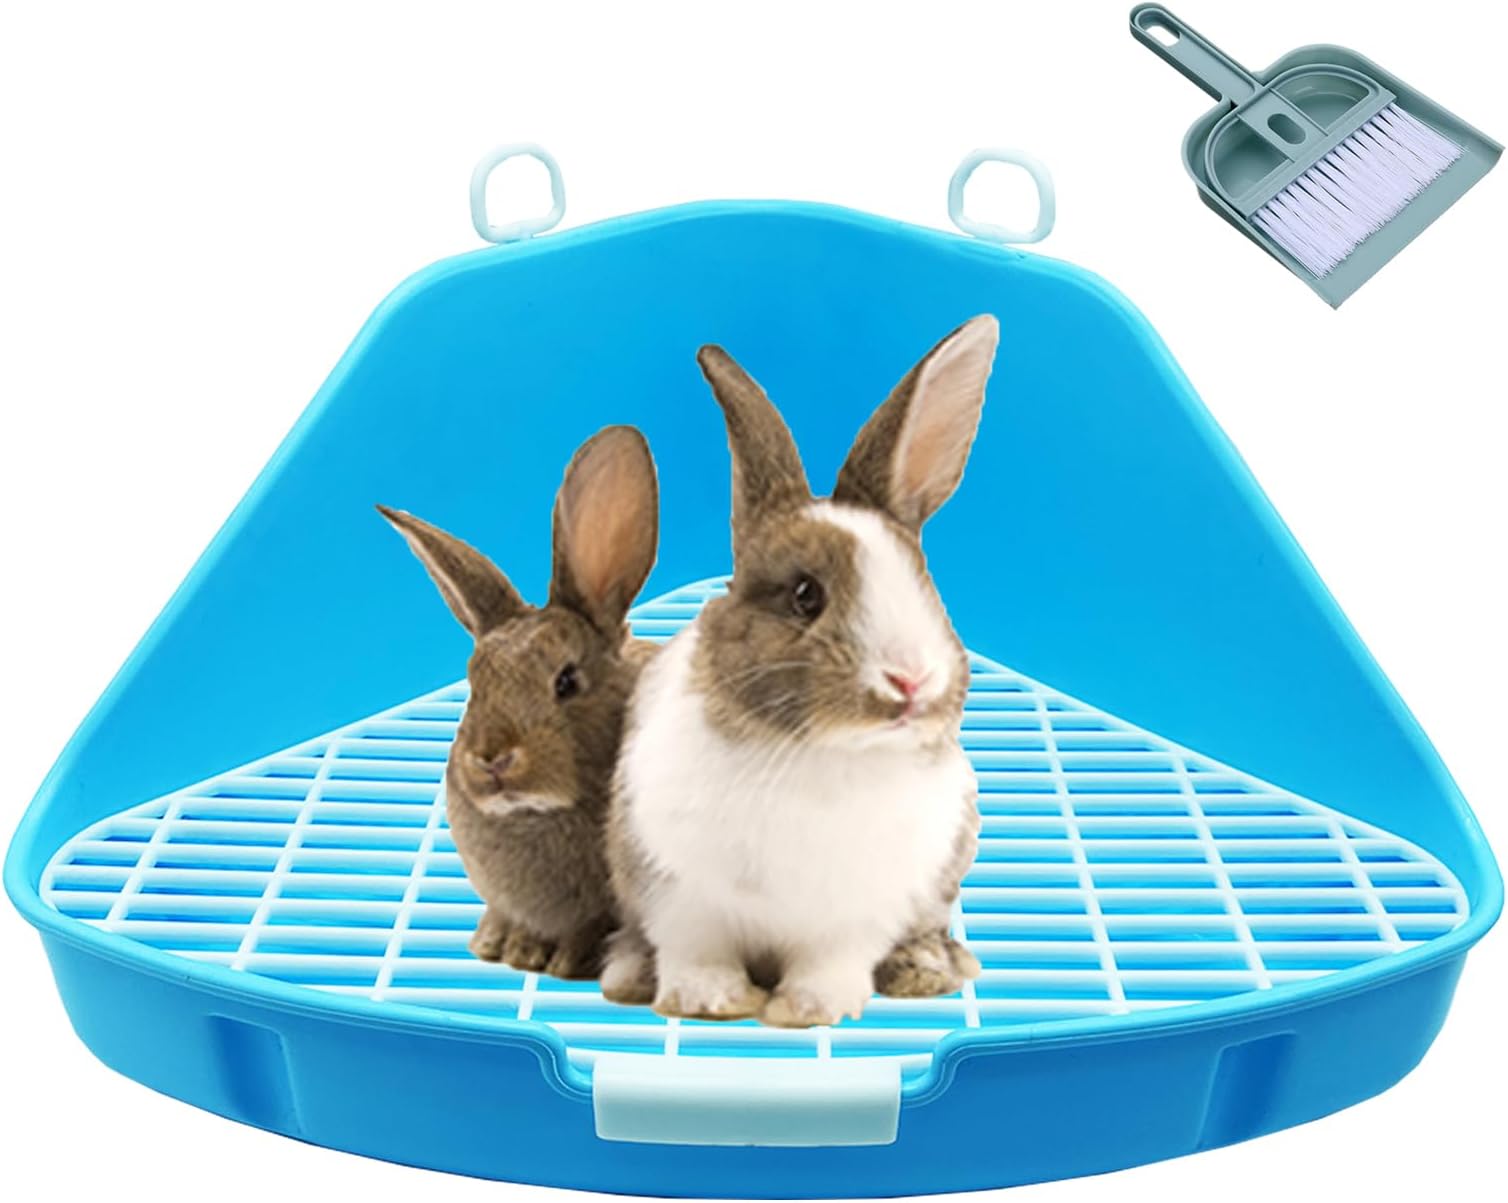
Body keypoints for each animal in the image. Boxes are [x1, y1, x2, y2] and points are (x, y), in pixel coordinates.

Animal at [603, 316, 995, 1026]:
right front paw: (710, 1002)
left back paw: (928, 970)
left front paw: (811, 1010)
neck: (820, 754)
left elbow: (830, 962)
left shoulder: (857, 914)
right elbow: (697, 953)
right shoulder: (676, 895)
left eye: (925, 583)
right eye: (805, 595)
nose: (910, 682)